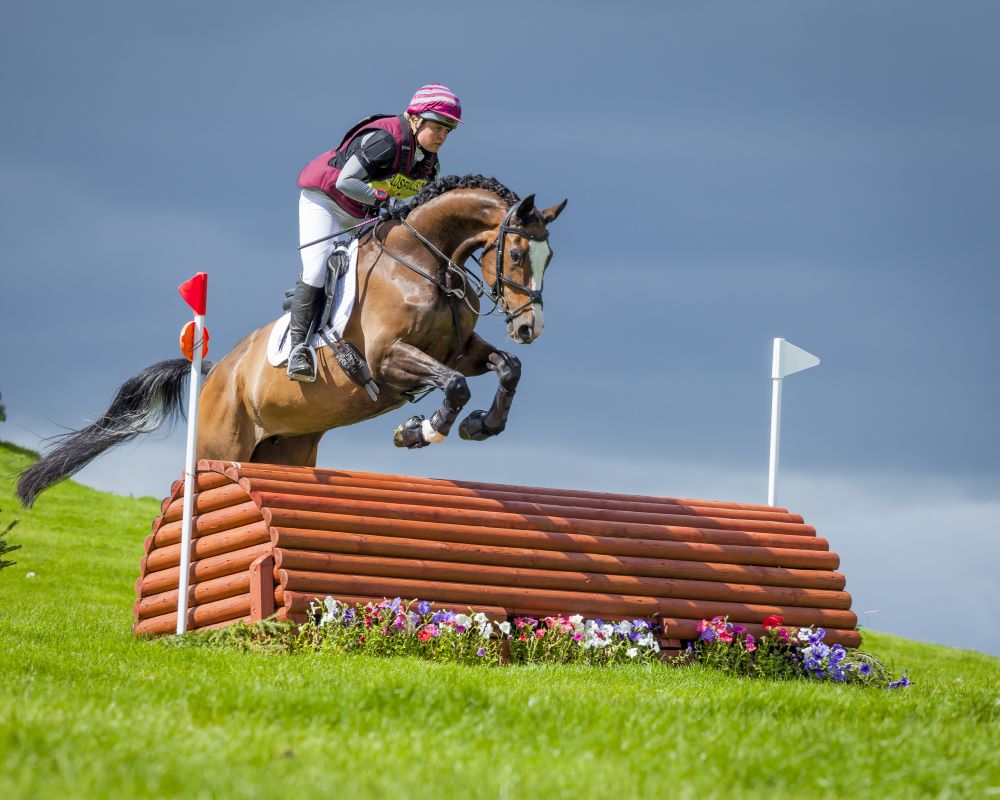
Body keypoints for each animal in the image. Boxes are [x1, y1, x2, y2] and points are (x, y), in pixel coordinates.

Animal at [17, 175, 567, 507]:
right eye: (518, 254)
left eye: (550, 257)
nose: (529, 328)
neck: (425, 264)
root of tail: (215, 372)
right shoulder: (387, 359)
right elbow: (454, 385)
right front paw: (419, 431)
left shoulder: (458, 349)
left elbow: (506, 367)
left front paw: (481, 425)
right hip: (222, 447)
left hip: (288, 452)